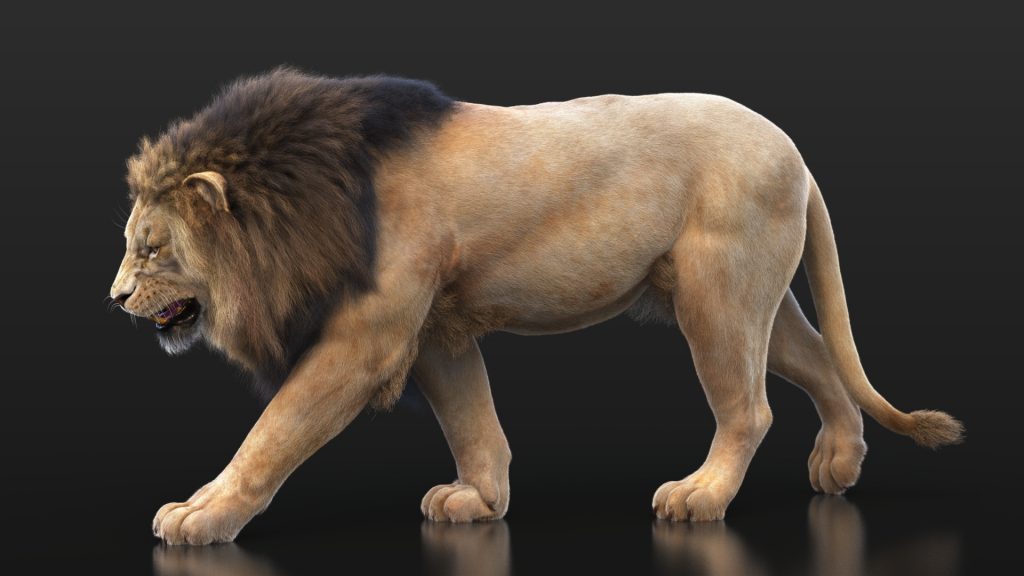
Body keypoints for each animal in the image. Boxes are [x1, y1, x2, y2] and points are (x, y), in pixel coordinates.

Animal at [110, 67, 963, 545]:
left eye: (151, 249)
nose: (114, 297)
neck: (300, 197)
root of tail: (796, 152)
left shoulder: (368, 335)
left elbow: (273, 431)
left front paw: (201, 514)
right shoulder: (436, 330)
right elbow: (472, 420)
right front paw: (479, 501)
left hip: (718, 294)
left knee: (749, 409)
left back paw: (702, 495)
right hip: (749, 293)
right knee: (818, 363)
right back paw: (837, 465)